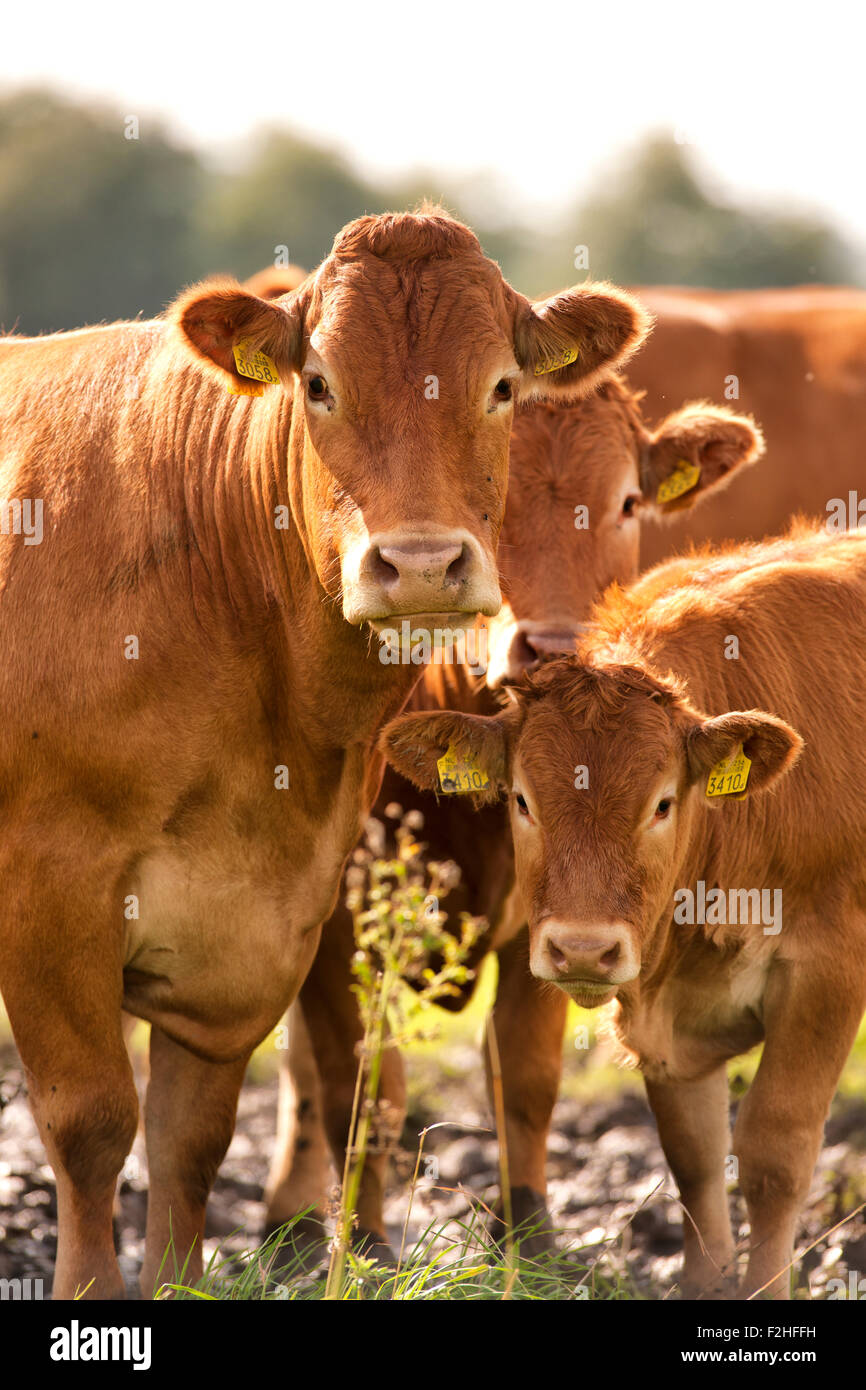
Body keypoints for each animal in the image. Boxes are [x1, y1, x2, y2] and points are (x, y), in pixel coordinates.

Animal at [0, 207, 649, 1298]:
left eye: (500, 386)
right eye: (317, 384)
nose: (421, 564)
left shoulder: (266, 914)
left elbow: (190, 1137)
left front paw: (178, 1279)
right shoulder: (51, 891)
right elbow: (91, 1125)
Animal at [264, 379, 764, 1259]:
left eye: (627, 502)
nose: (554, 645)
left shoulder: (557, 909)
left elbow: (525, 1076)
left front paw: (529, 1232)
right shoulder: (334, 924)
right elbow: (361, 1082)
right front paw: (364, 1244)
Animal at [381, 524, 866, 1299]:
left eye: (663, 803)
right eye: (522, 800)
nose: (582, 950)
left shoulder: (827, 970)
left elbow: (774, 1152)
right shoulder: (663, 1017)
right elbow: (694, 1154)